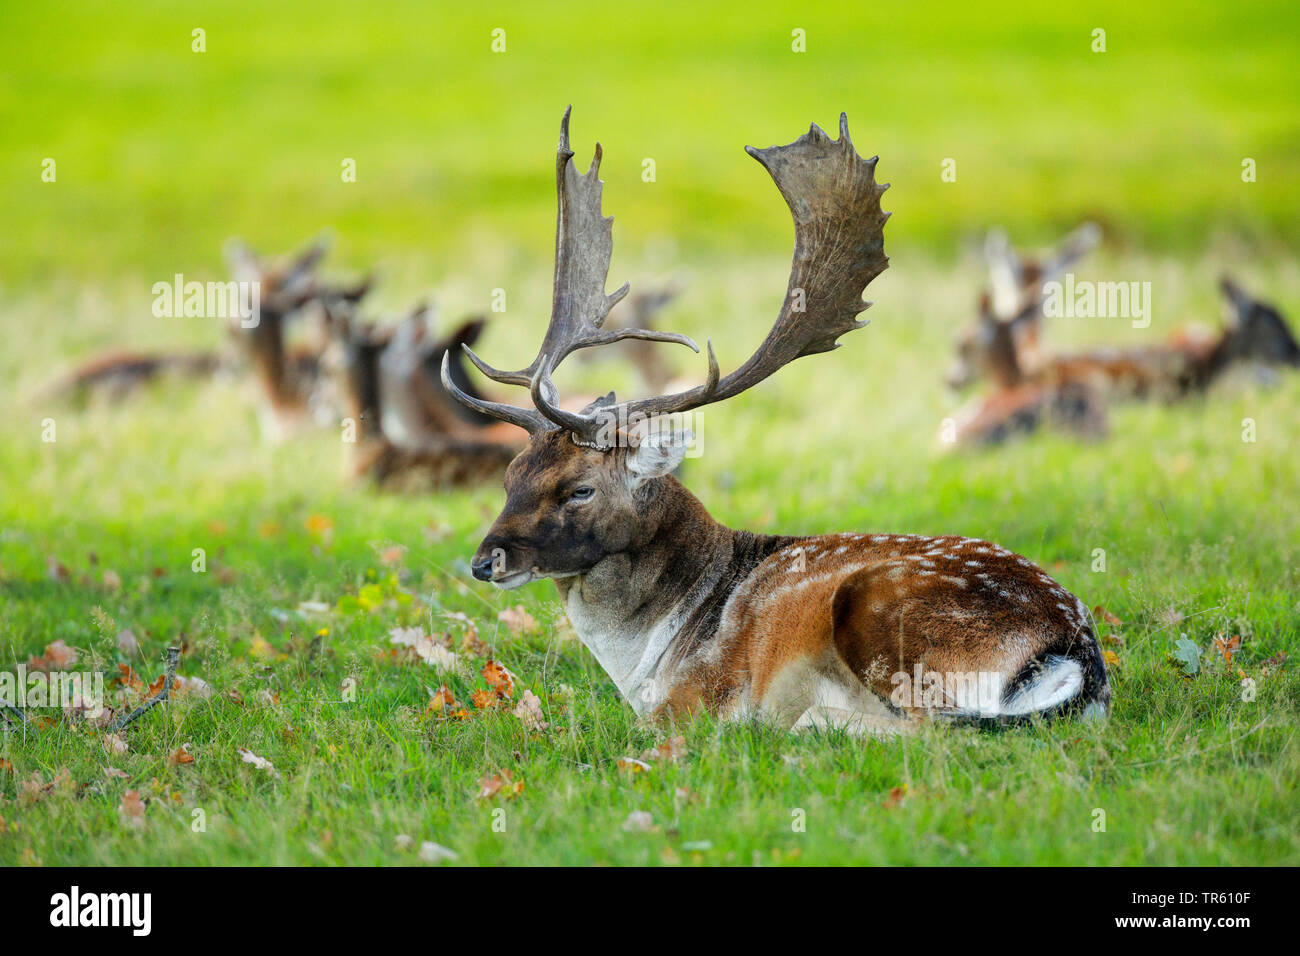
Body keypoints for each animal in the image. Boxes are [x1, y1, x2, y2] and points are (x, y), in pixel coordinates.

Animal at [439, 108, 1110, 735]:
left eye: (579, 489)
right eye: (510, 476)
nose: (484, 561)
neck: (648, 659)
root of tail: (1075, 652)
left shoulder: (694, 696)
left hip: (879, 612)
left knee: (931, 729)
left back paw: (808, 719)